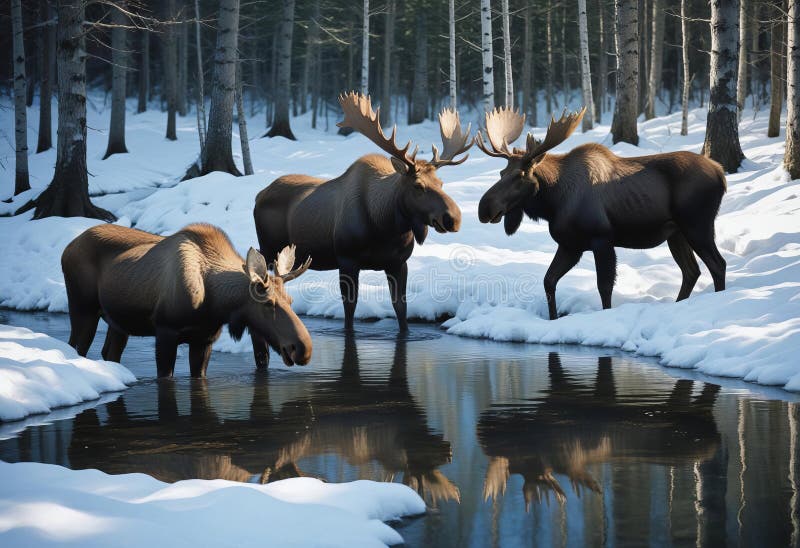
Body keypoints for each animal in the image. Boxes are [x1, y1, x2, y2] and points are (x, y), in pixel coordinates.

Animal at [61, 223, 313, 377]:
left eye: (290, 300)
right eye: (268, 303)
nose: (302, 348)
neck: (215, 304)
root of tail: (66, 249)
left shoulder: (204, 339)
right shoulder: (165, 331)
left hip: (117, 323)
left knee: (110, 353)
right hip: (82, 309)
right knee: (75, 346)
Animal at [253, 91, 471, 351]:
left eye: (441, 183)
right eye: (418, 186)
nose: (453, 218)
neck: (387, 227)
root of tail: (258, 195)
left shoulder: (398, 263)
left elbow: (401, 307)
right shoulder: (347, 259)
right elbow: (349, 308)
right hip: (268, 249)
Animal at [475, 107, 727, 320]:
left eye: (520, 175)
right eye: (501, 172)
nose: (484, 208)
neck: (553, 202)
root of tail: (720, 173)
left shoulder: (602, 239)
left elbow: (604, 287)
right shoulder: (570, 245)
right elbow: (549, 281)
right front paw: (553, 318)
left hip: (697, 225)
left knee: (718, 264)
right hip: (676, 233)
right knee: (691, 271)